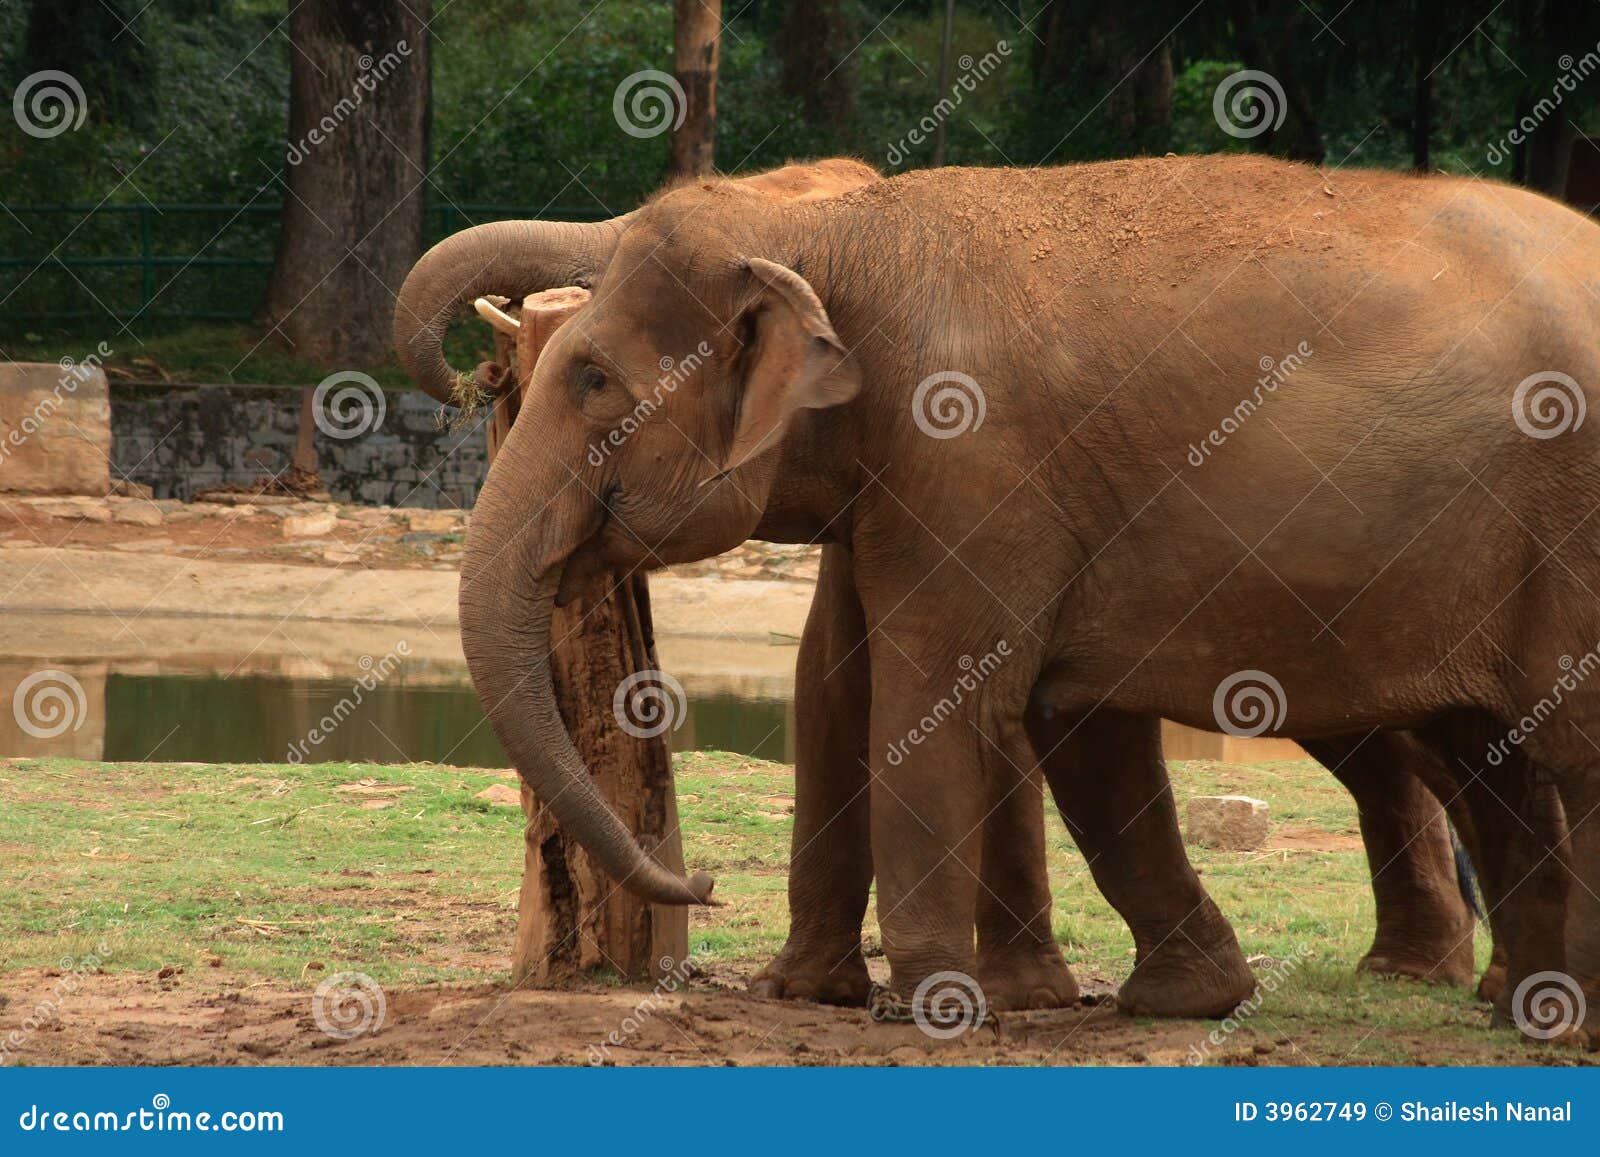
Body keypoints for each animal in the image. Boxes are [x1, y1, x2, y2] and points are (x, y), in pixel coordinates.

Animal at [395, 155, 1595, 1044]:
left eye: (593, 378)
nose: (703, 887)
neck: (850, 227)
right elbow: (876, 692)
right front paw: (810, 991)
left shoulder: (969, 449)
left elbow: (937, 697)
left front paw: (930, 1007)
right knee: (1489, 750)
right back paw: (1517, 1010)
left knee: (1562, 747)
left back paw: (1538, 1016)